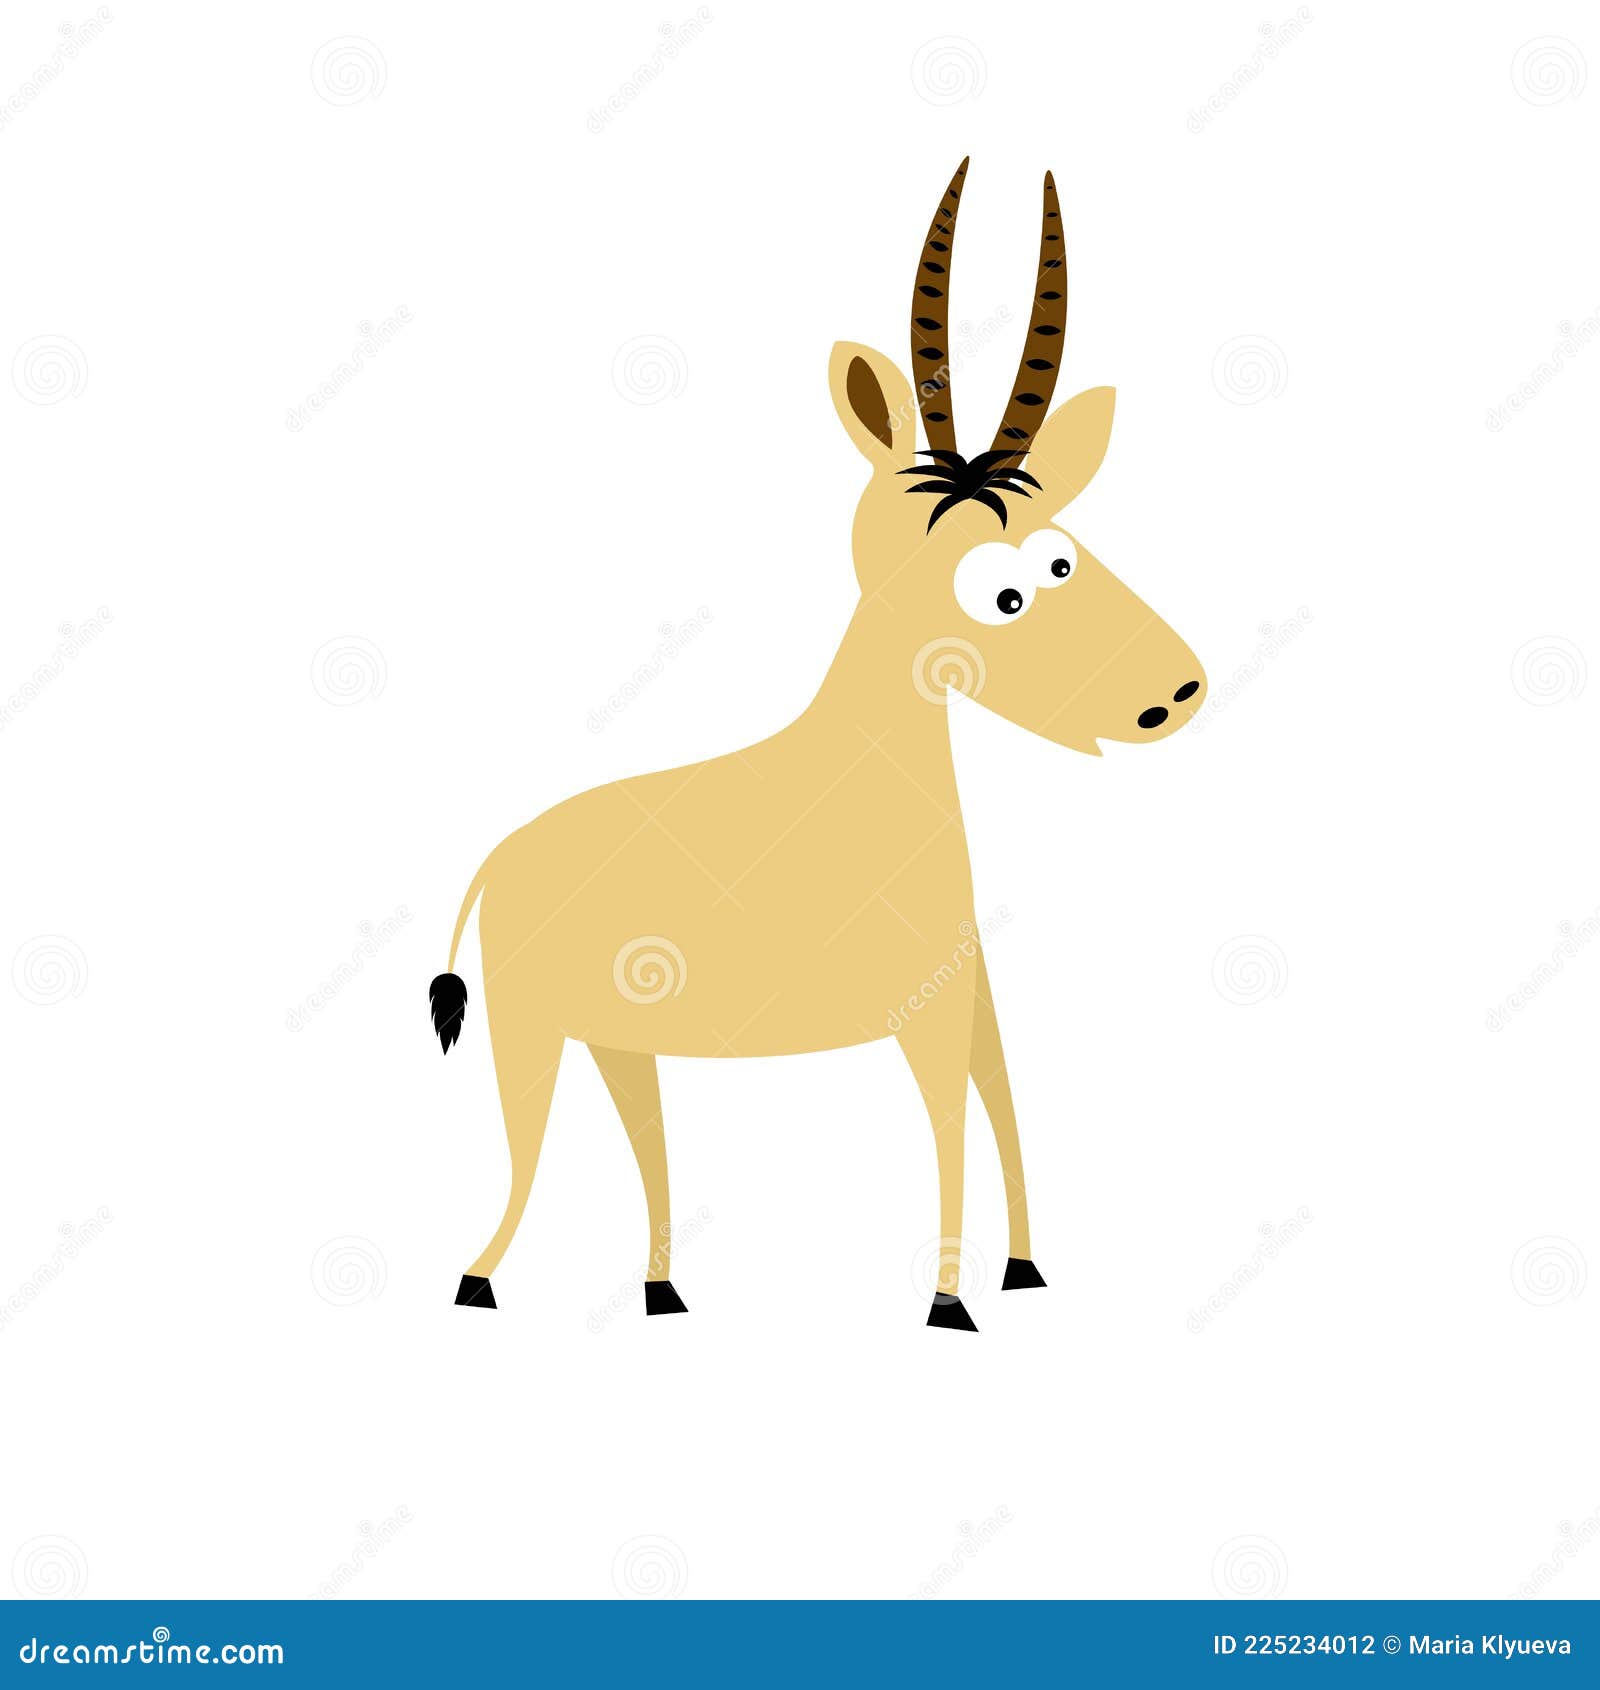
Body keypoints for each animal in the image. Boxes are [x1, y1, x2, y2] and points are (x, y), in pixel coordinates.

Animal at [430, 160, 1204, 1330]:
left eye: (1064, 551)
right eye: (1007, 591)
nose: (1176, 692)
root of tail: (497, 859)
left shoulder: (967, 993)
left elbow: (1002, 1102)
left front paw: (1023, 1271)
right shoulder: (918, 1017)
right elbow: (953, 1124)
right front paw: (949, 1305)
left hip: (615, 1037)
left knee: (643, 1143)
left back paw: (662, 1292)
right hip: (531, 1029)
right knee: (532, 1143)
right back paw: (477, 1281)